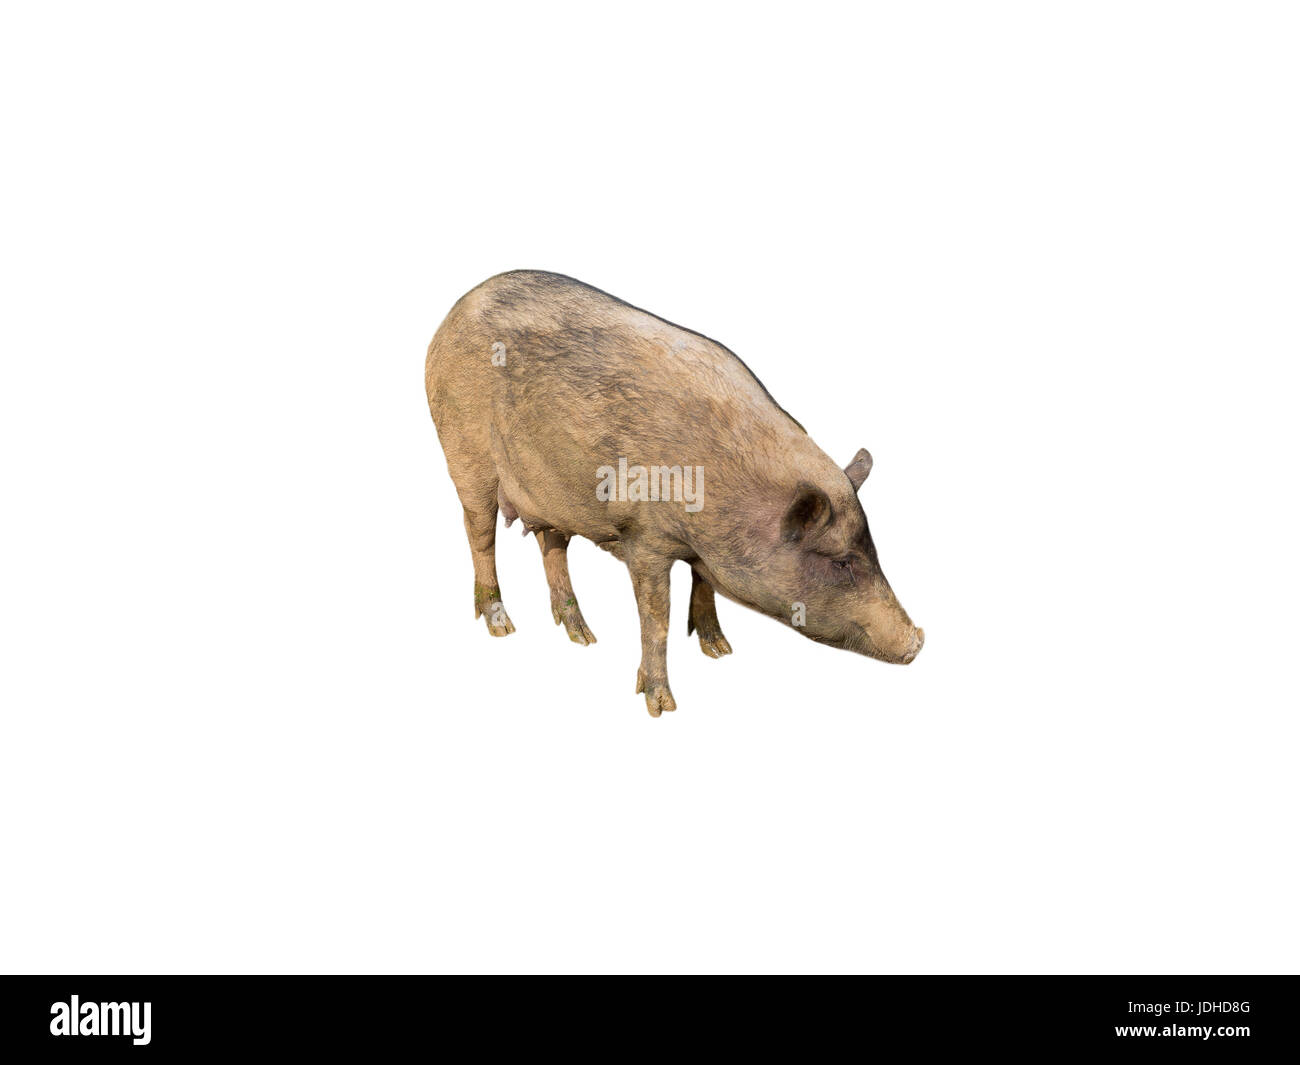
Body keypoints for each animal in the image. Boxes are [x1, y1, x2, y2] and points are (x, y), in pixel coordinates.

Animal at [425, 270, 923, 716]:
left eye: (873, 550)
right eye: (840, 562)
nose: (918, 640)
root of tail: (451, 315)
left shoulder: (702, 550)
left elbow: (703, 586)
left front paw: (721, 651)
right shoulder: (644, 539)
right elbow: (656, 618)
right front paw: (662, 707)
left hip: (549, 490)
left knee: (552, 546)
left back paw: (583, 635)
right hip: (464, 456)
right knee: (479, 533)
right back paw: (503, 627)